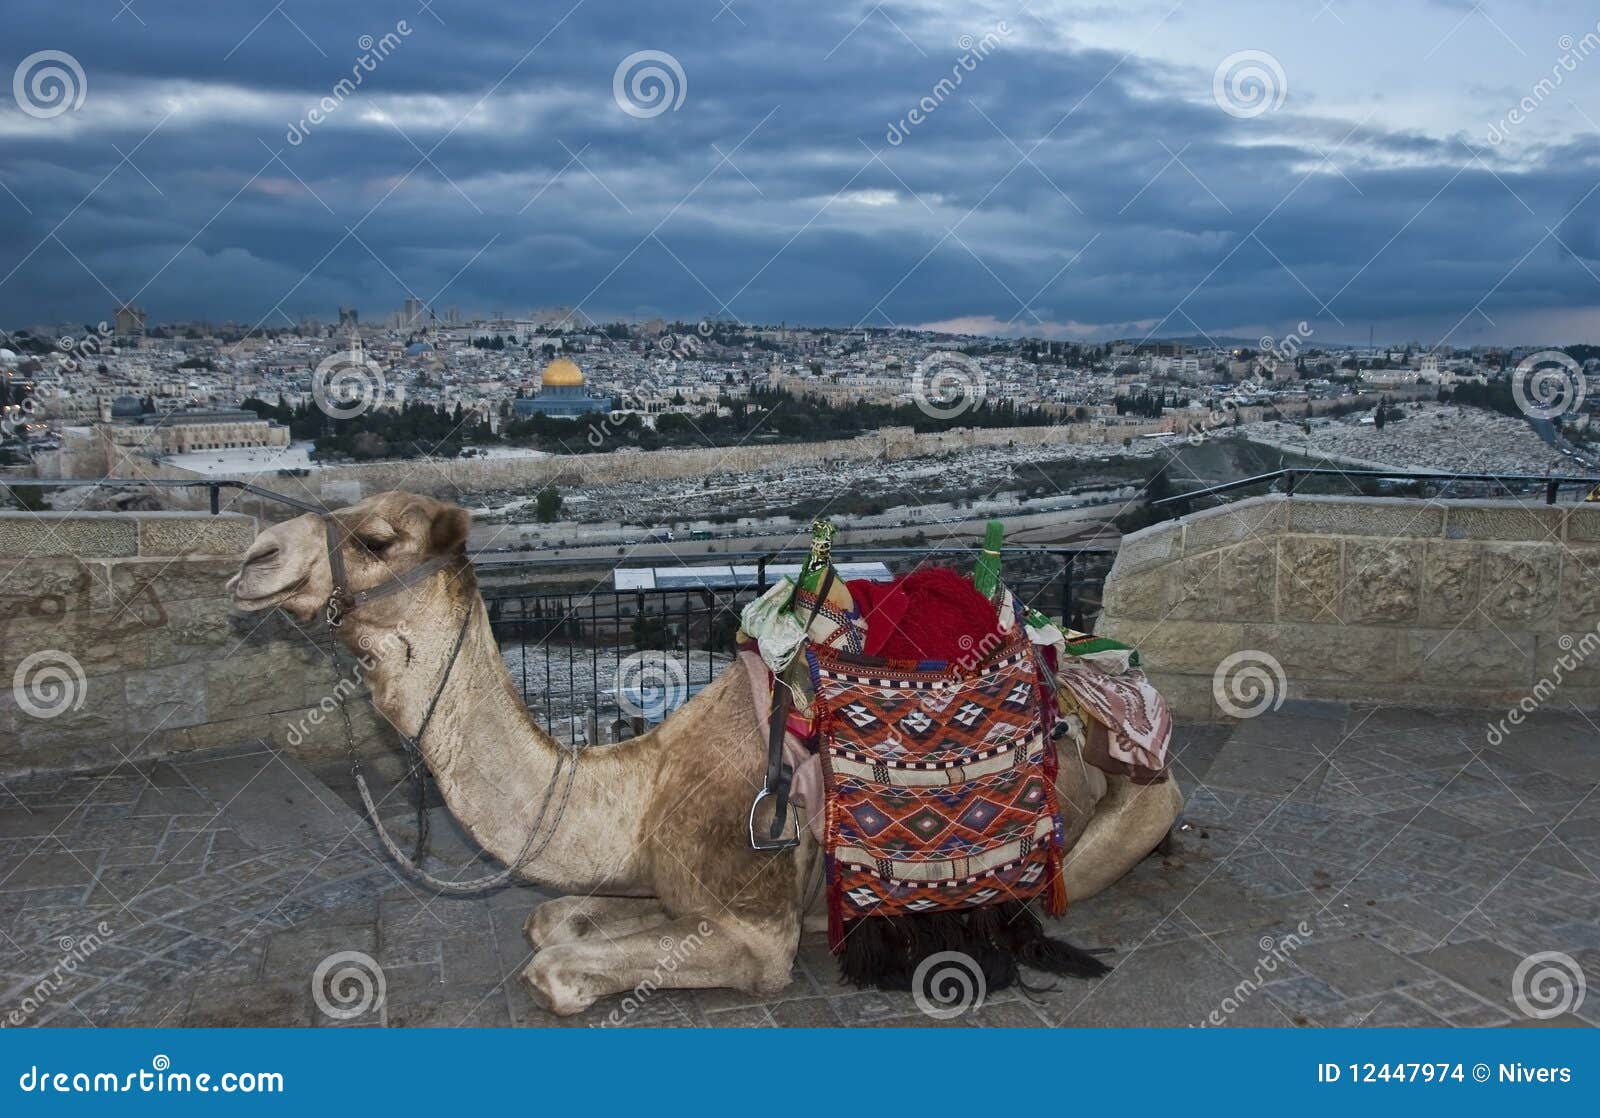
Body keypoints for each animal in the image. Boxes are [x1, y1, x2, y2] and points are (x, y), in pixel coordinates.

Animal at [229, 491, 1182, 1015]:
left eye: (377, 539)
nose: (254, 556)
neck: (640, 788)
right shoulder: (662, 878)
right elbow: (553, 920)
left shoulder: (755, 936)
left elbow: (555, 967)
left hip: (1119, 823)